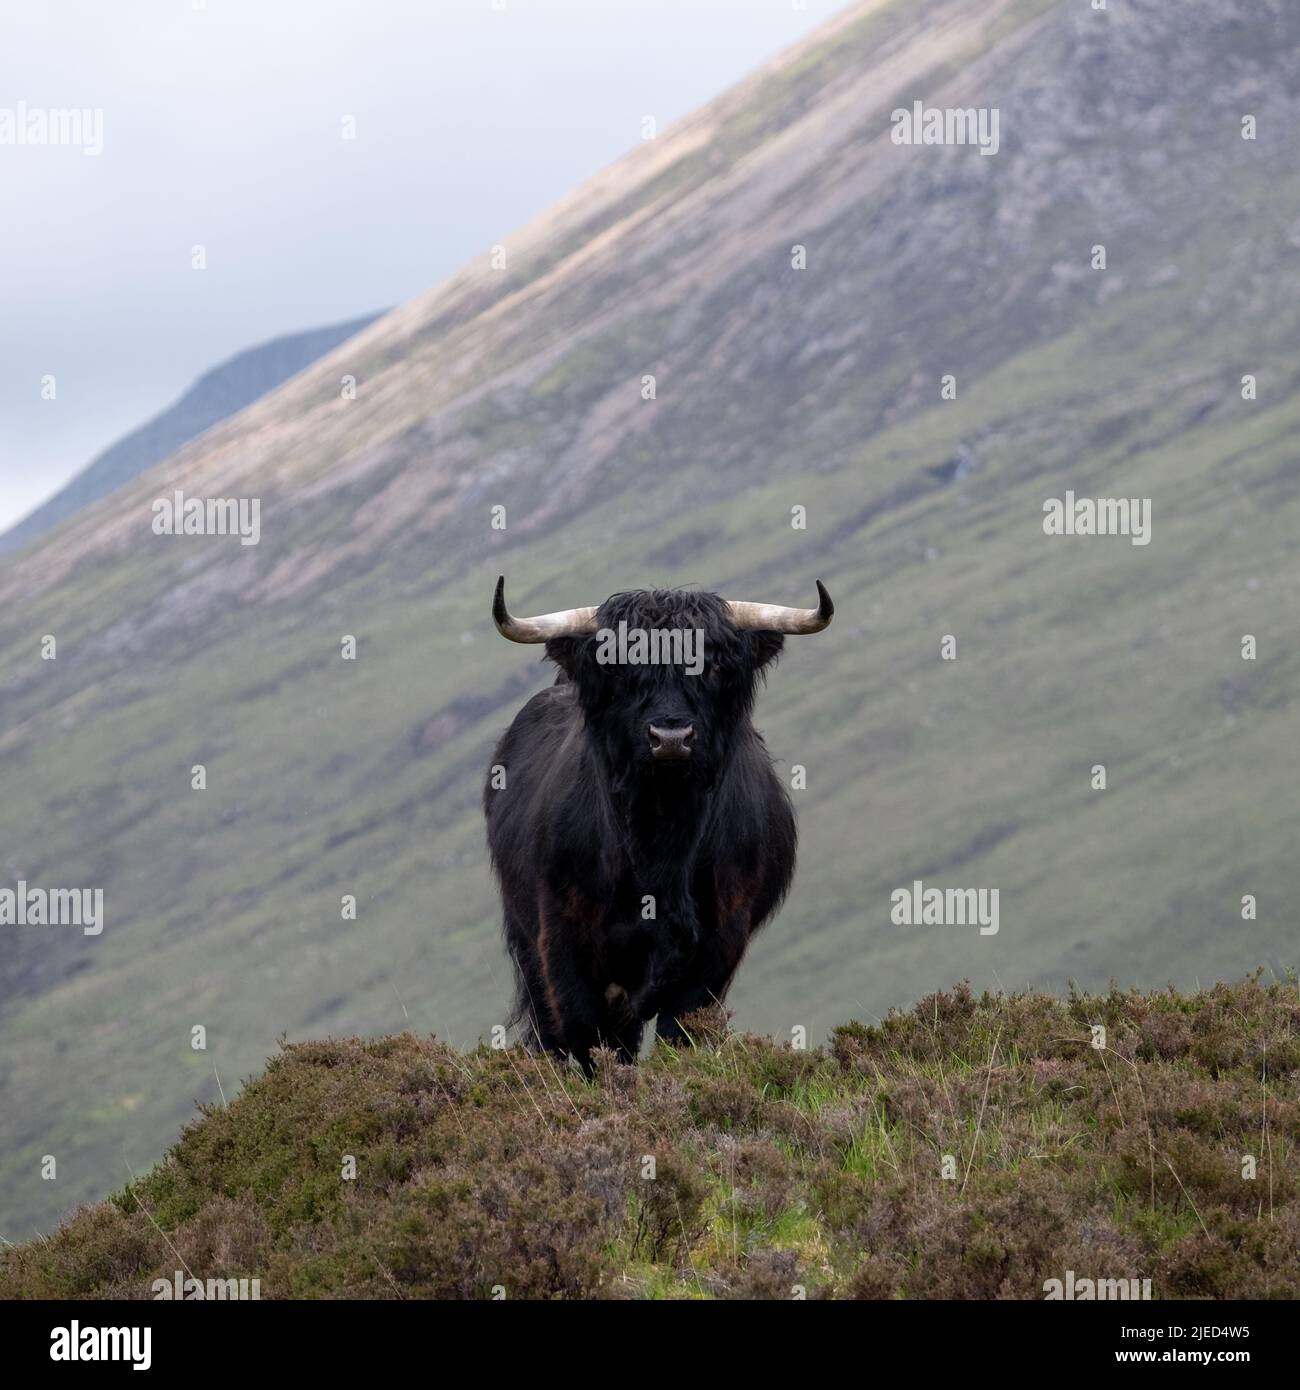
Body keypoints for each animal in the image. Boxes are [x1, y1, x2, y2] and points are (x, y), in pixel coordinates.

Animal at [483, 576, 833, 1070]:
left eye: (713, 667)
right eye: (622, 671)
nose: (670, 738)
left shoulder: (718, 945)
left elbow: (679, 1033)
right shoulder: (562, 938)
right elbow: (586, 1035)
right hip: (526, 936)